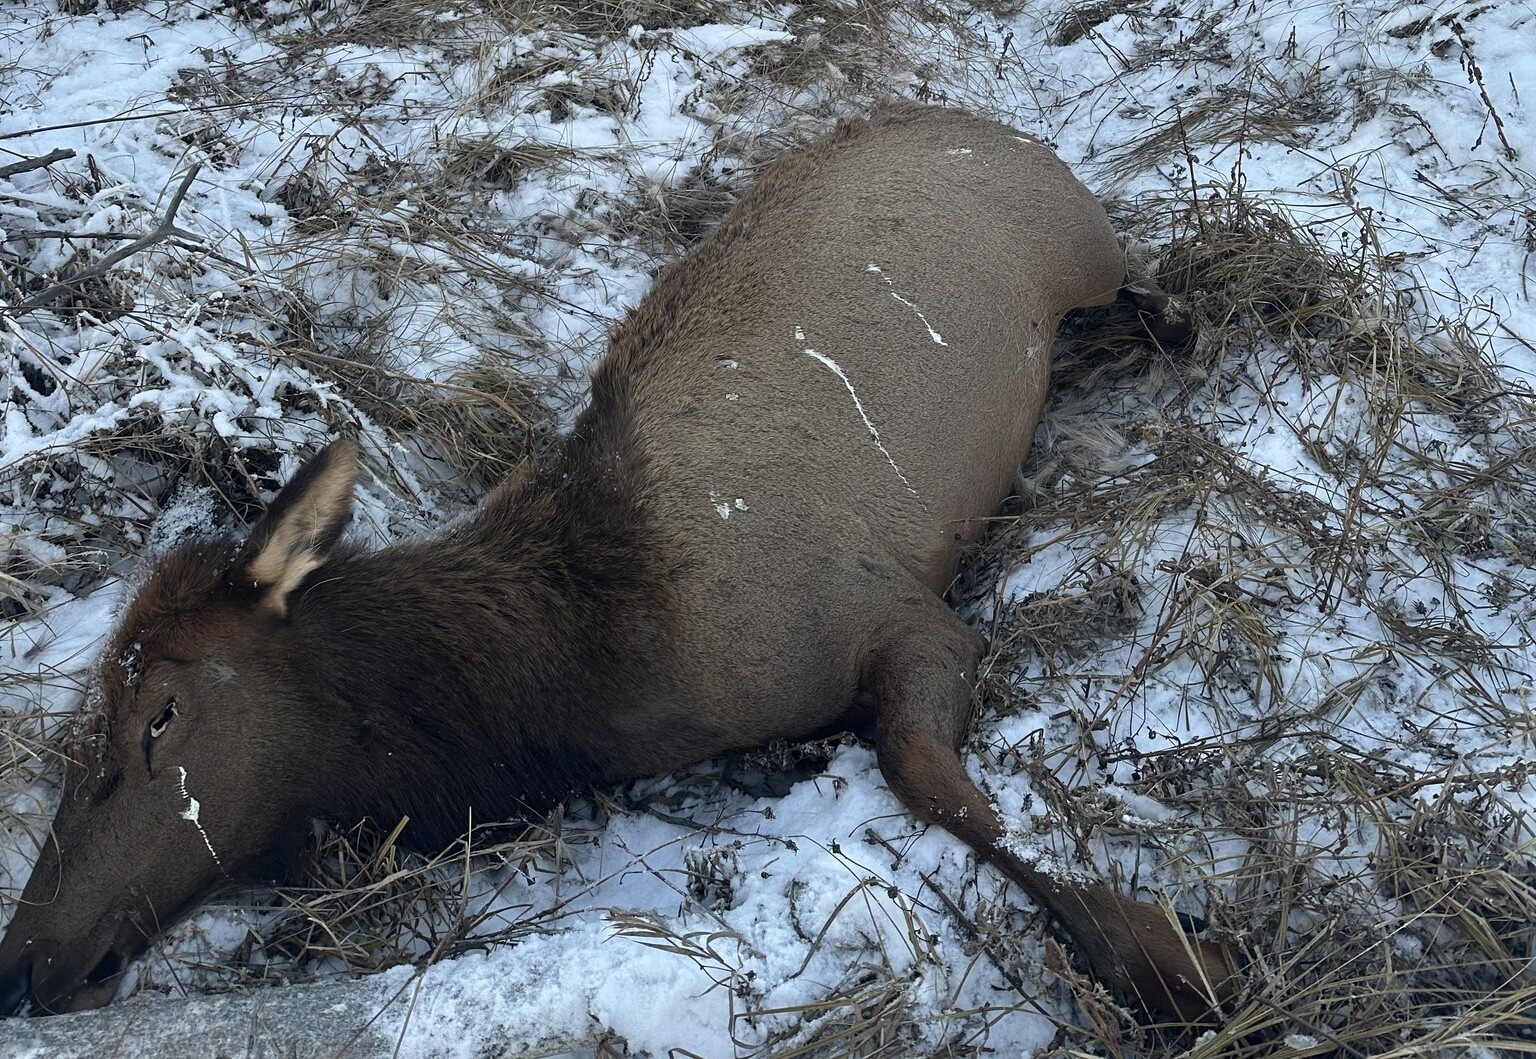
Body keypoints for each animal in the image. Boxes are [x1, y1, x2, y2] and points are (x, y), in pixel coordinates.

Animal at [0, 101, 1235, 1023]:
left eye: (159, 714)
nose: (21, 961)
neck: (589, 679)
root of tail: (988, 122)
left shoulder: (890, 613)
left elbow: (932, 779)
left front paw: (1176, 961)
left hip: (1080, 242)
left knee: (1141, 274)